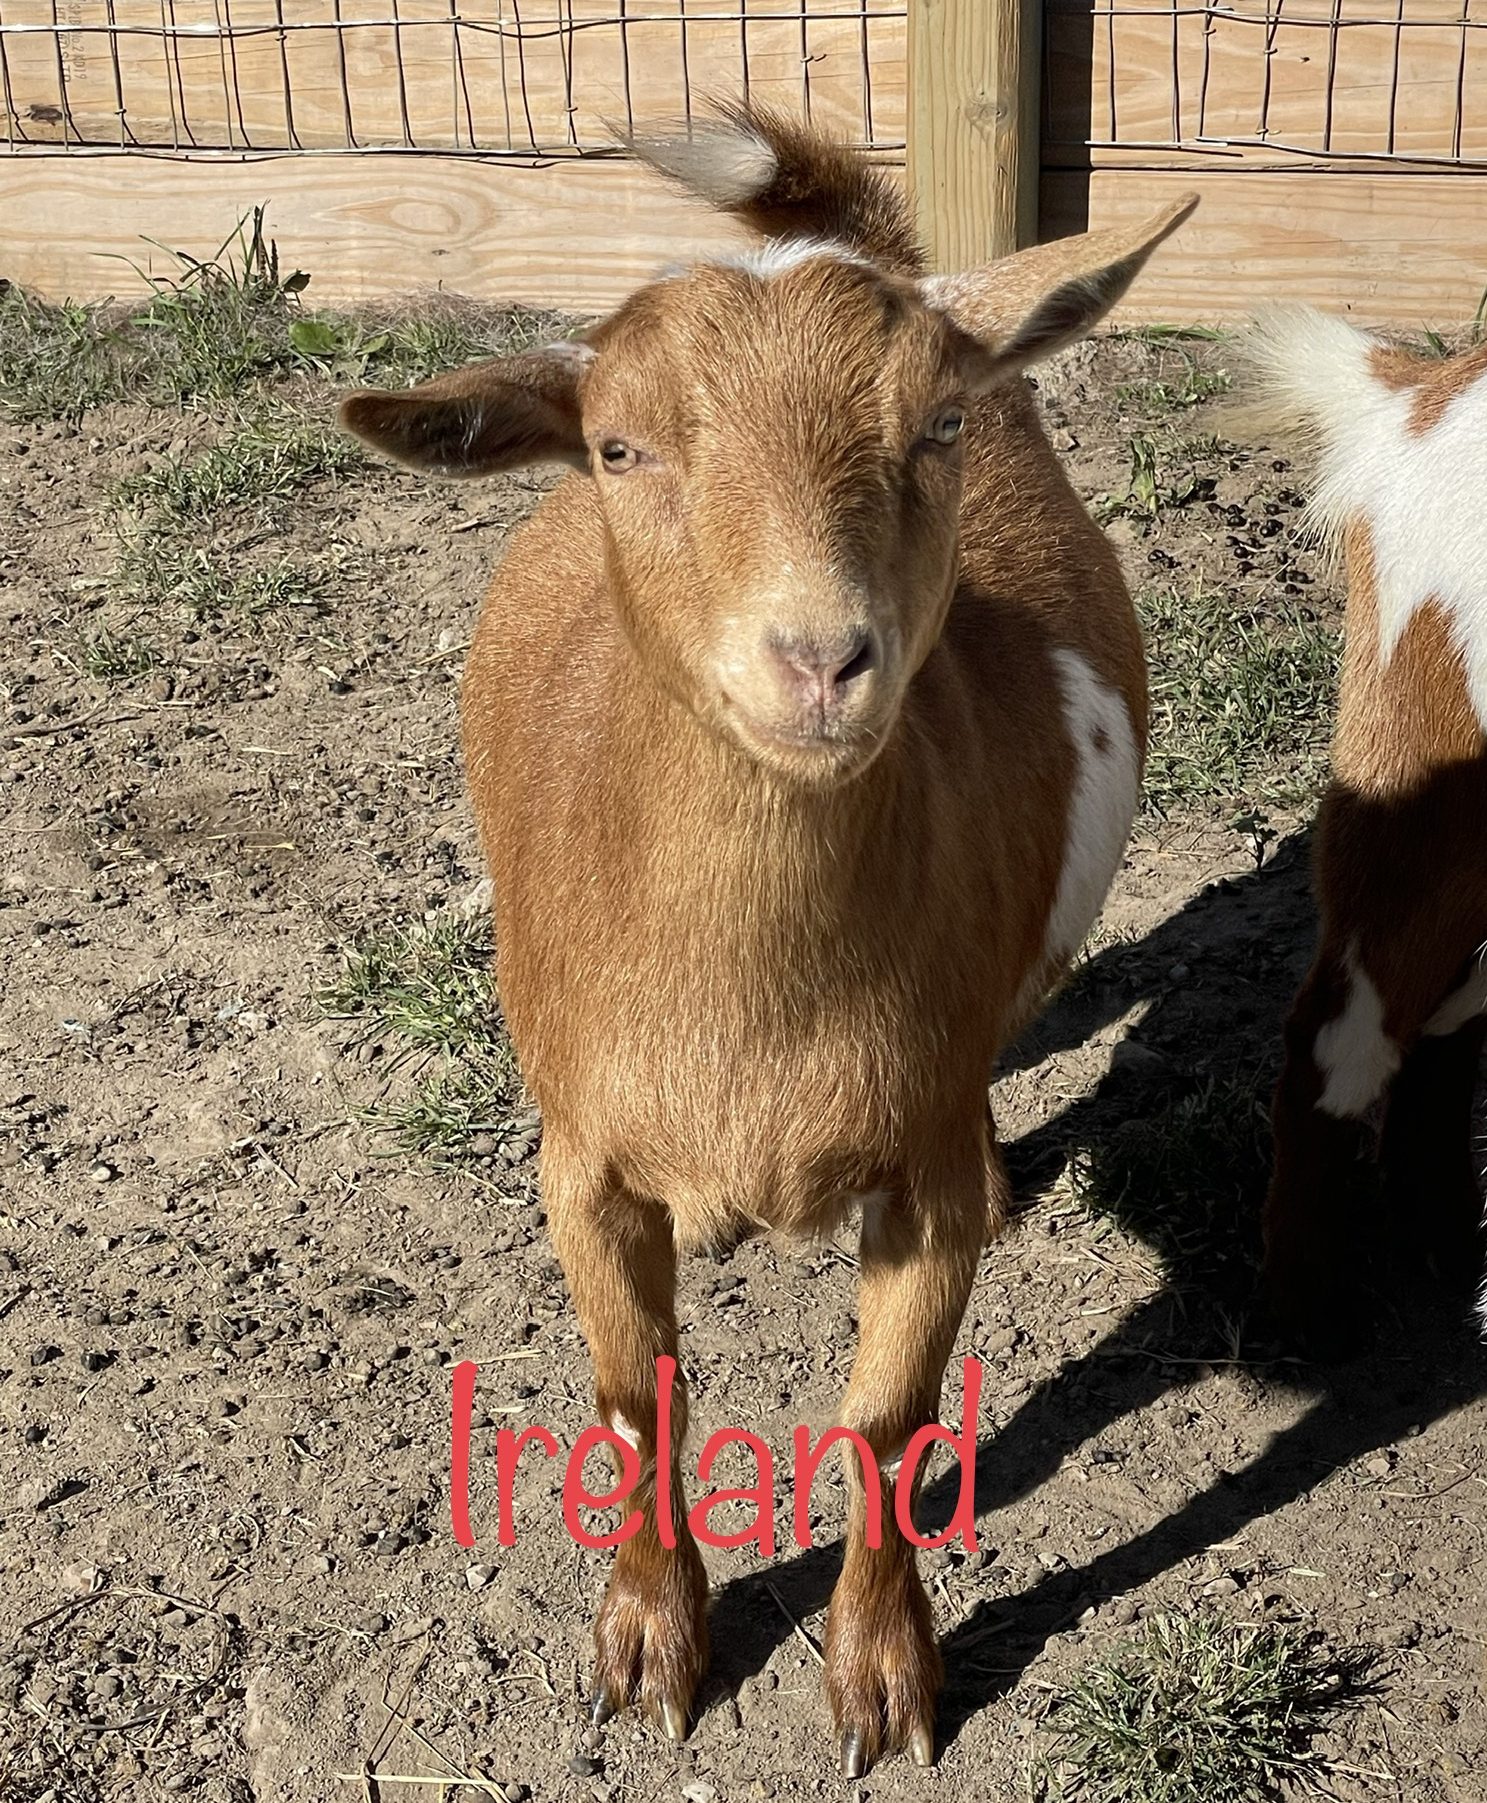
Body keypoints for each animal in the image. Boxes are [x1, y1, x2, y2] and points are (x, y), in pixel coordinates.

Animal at [341, 106, 1193, 1773]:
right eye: (620, 445)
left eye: (935, 423)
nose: (817, 659)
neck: (748, 1011)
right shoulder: (580, 1159)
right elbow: (635, 1393)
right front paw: (646, 1643)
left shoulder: (913, 1170)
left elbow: (881, 1421)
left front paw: (879, 1676)